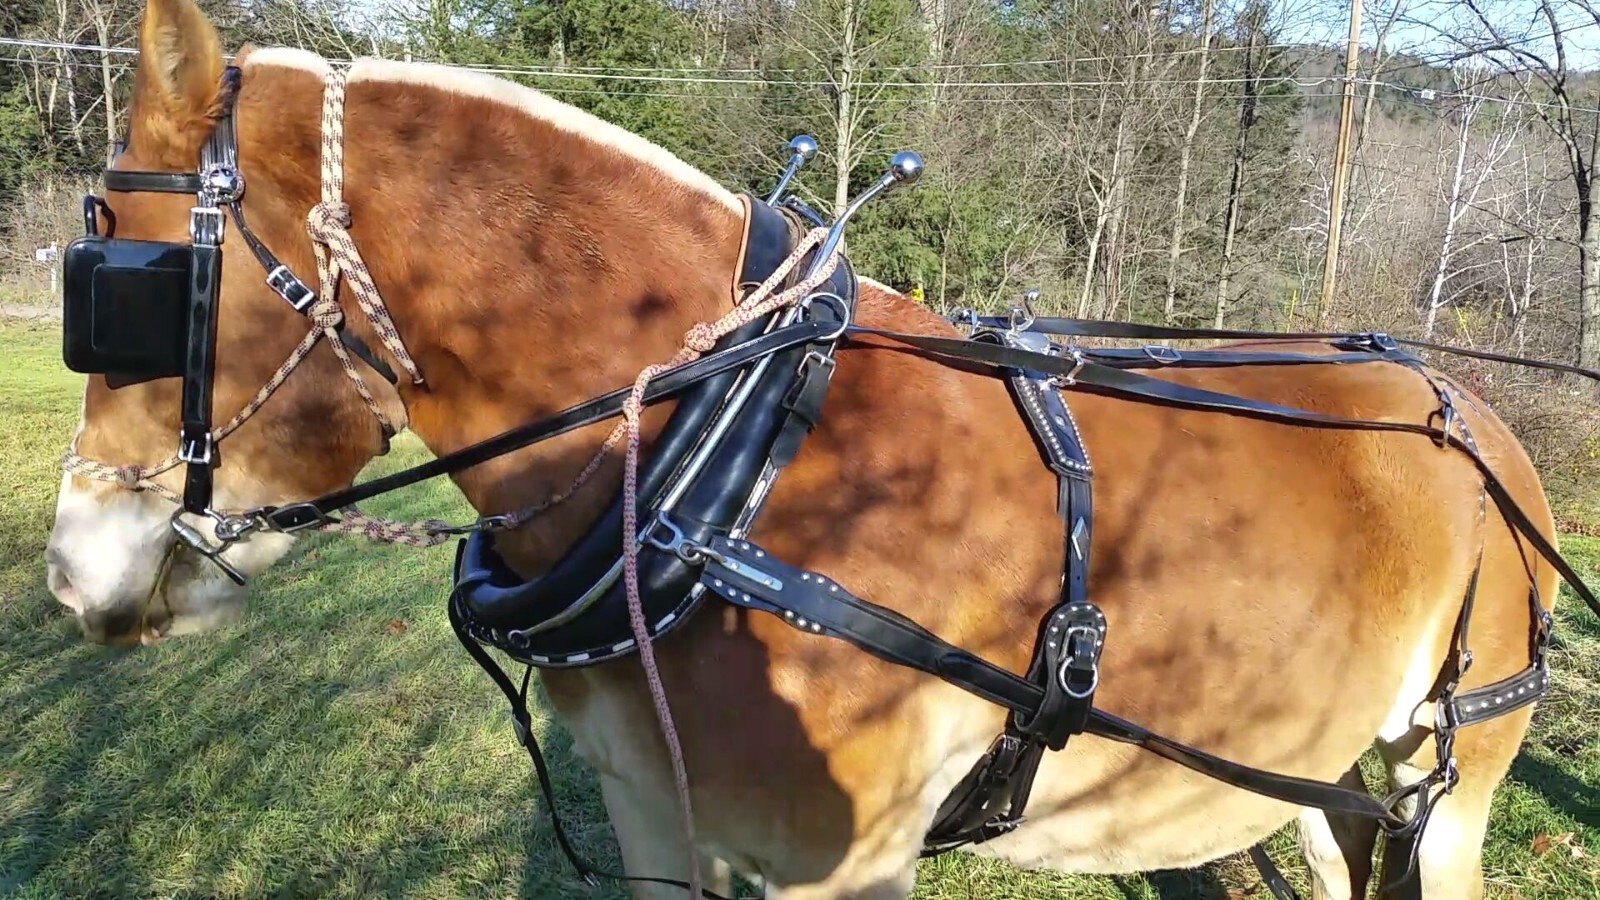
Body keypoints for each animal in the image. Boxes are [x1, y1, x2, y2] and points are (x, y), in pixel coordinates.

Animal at [44, 1, 1574, 897]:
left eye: (117, 284)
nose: (65, 577)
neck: (732, 464)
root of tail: (1468, 409)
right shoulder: (653, 815)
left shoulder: (845, 860)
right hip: (1318, 764)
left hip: (1454, 779)